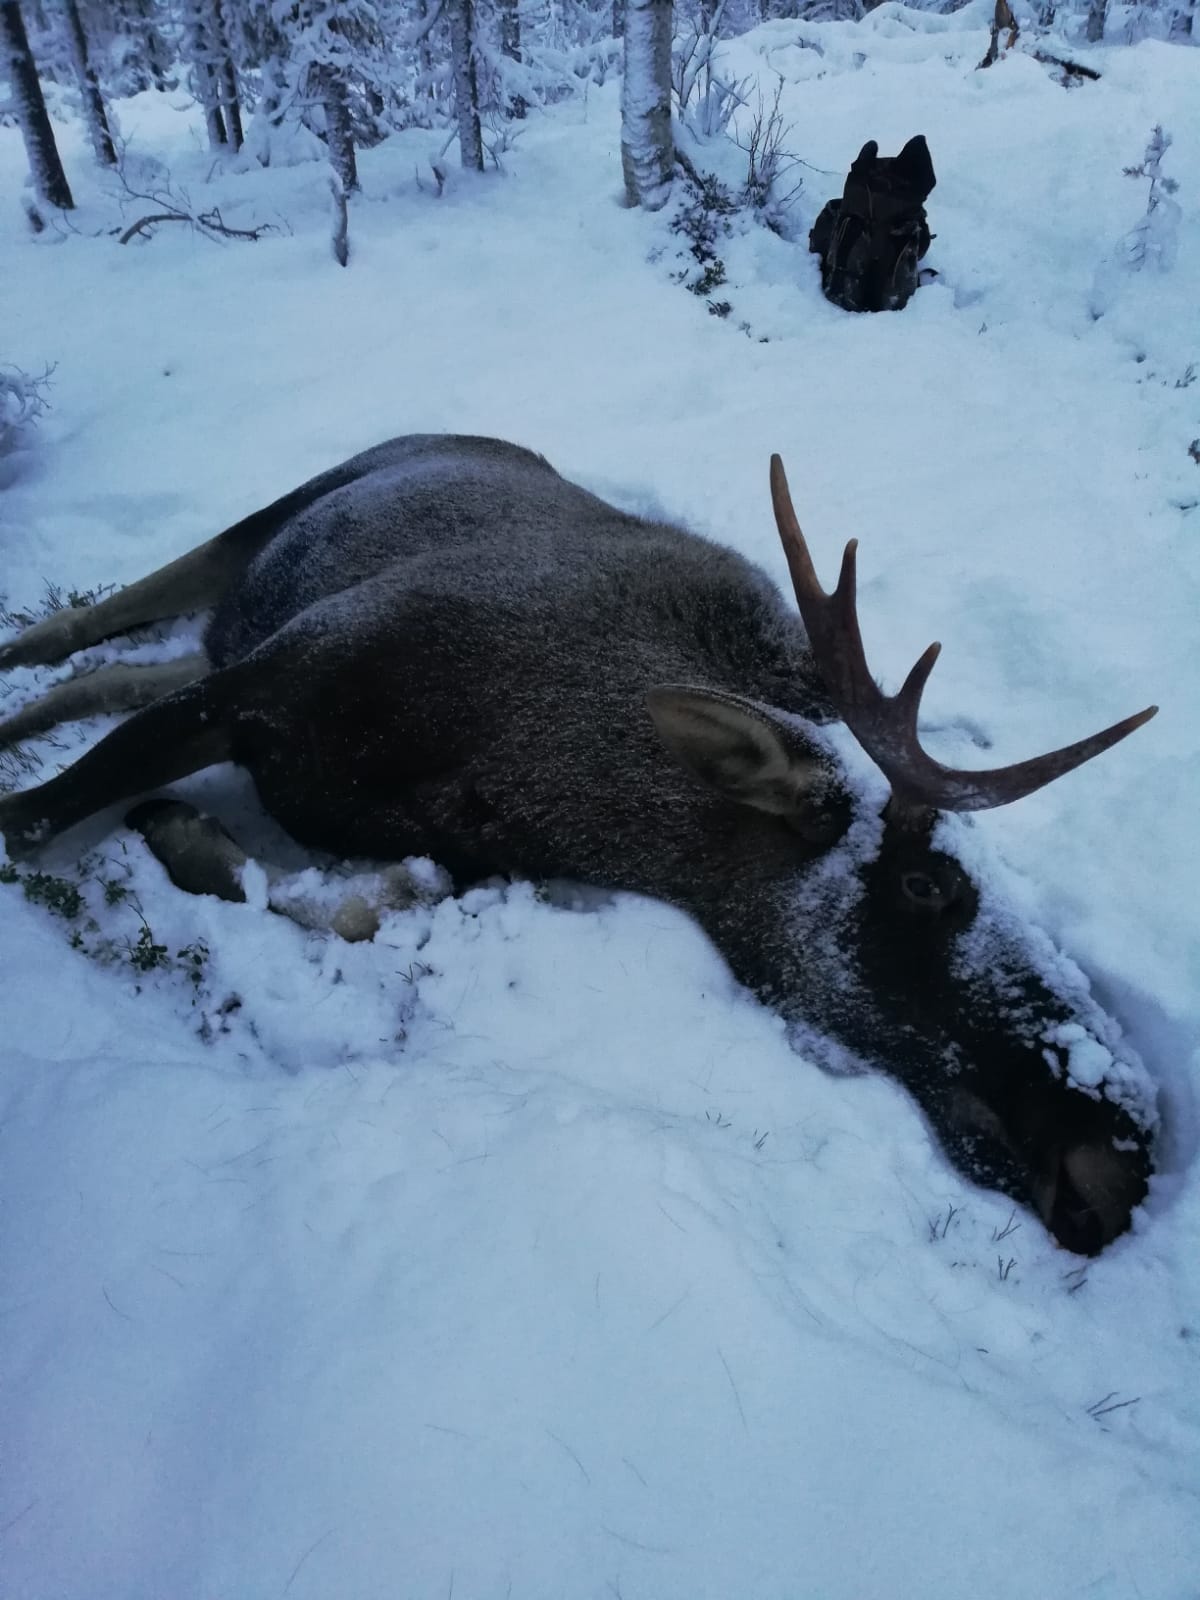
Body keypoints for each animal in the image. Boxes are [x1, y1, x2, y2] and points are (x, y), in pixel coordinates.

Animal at [0, 434, 1160, 1255]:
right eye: (930, 885)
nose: (1129, 1152)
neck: (546, 772)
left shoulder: (444, 840)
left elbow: (367, 898)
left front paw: (180, 832)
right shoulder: (279, 673)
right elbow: (33, 819)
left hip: (227, 624)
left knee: (99, 675)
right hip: (268, 523)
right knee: (73, 634)